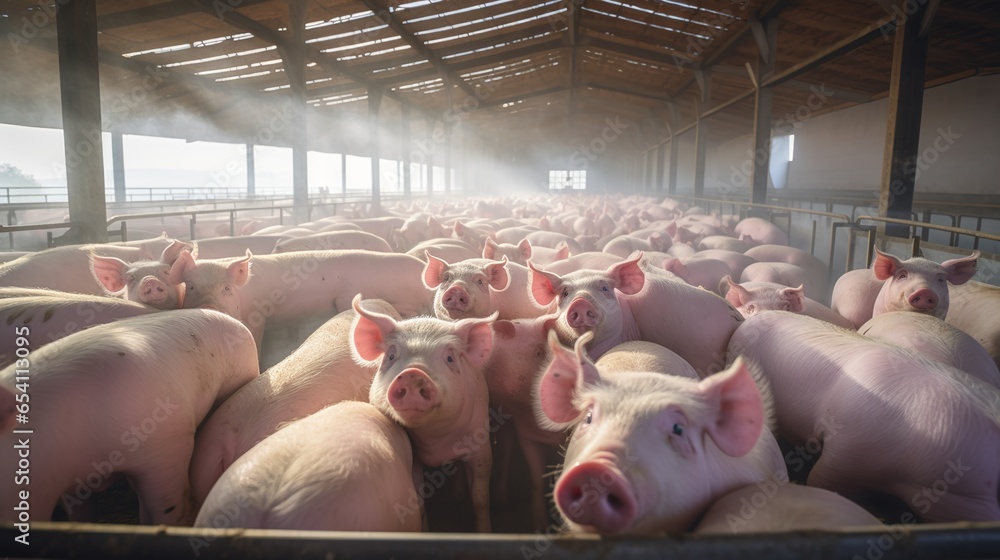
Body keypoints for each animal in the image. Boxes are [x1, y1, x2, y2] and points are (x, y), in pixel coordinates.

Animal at [351, 296, 496, 532]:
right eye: (391, 355)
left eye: (450, 358)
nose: (413, 373)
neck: (436, 443)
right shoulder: (415, 459)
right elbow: (418, 502)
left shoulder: (481, 446)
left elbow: (480, 497)